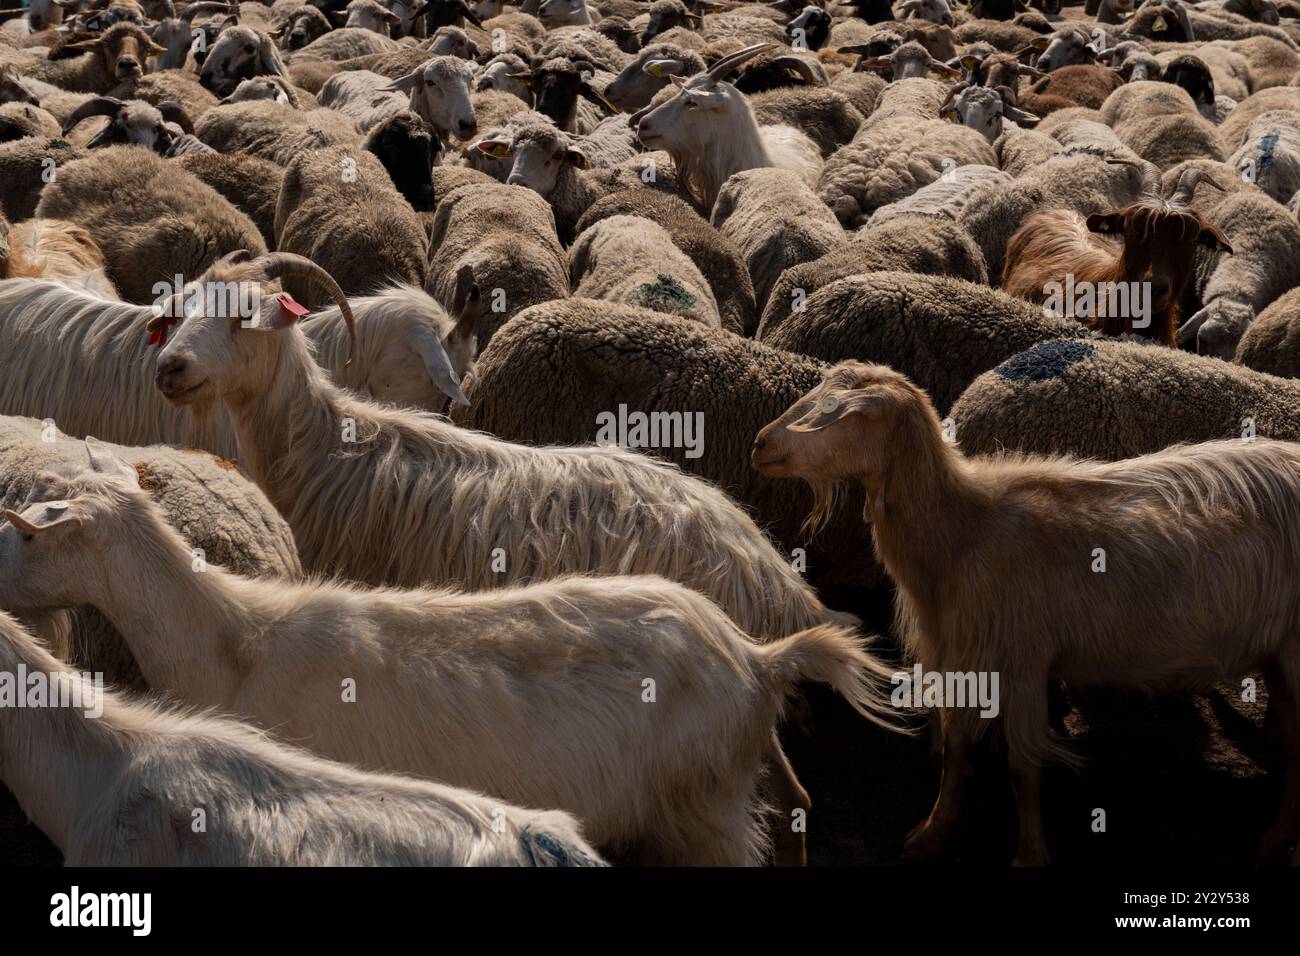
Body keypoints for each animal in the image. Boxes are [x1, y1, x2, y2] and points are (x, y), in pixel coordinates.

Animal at [754, 356, 1300, 865]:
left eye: (836, 411)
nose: (760, 444)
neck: (963, 530)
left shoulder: (1022, 661)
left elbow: (1022, 771)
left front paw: (1029, 853)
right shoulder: (965, 652)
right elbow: (955, 746)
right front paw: (934, 830)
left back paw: (1277, 841)